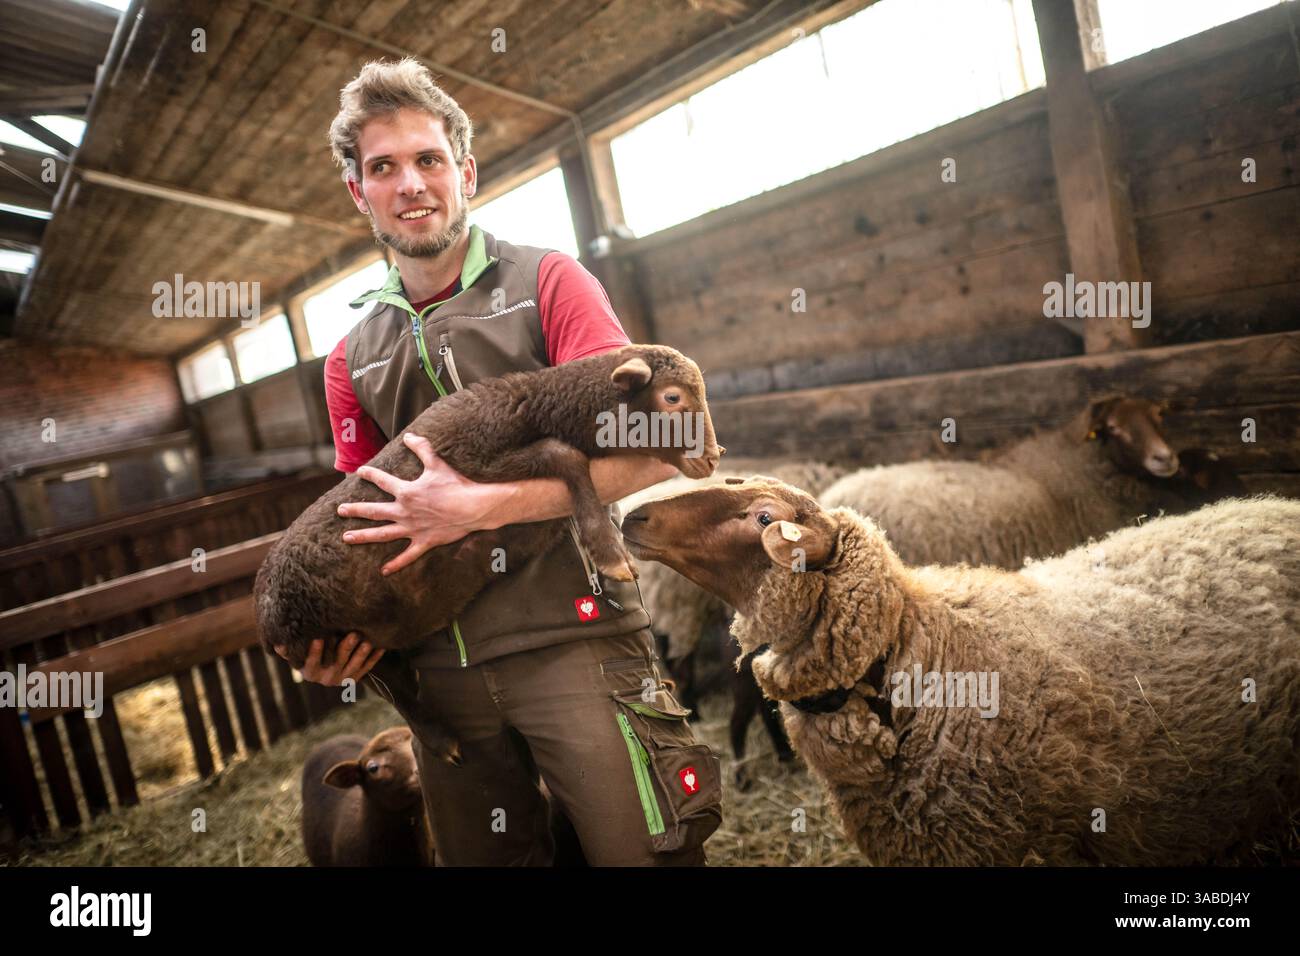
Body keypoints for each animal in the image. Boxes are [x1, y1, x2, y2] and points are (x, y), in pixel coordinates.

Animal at [255, 343, 721, 672]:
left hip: (372, 646)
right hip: (324, 646)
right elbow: (564, 454)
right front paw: (611, 556)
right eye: (673, 397)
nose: (713, 458)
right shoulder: (476, 463)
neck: (536, 404)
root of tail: (263, 618)